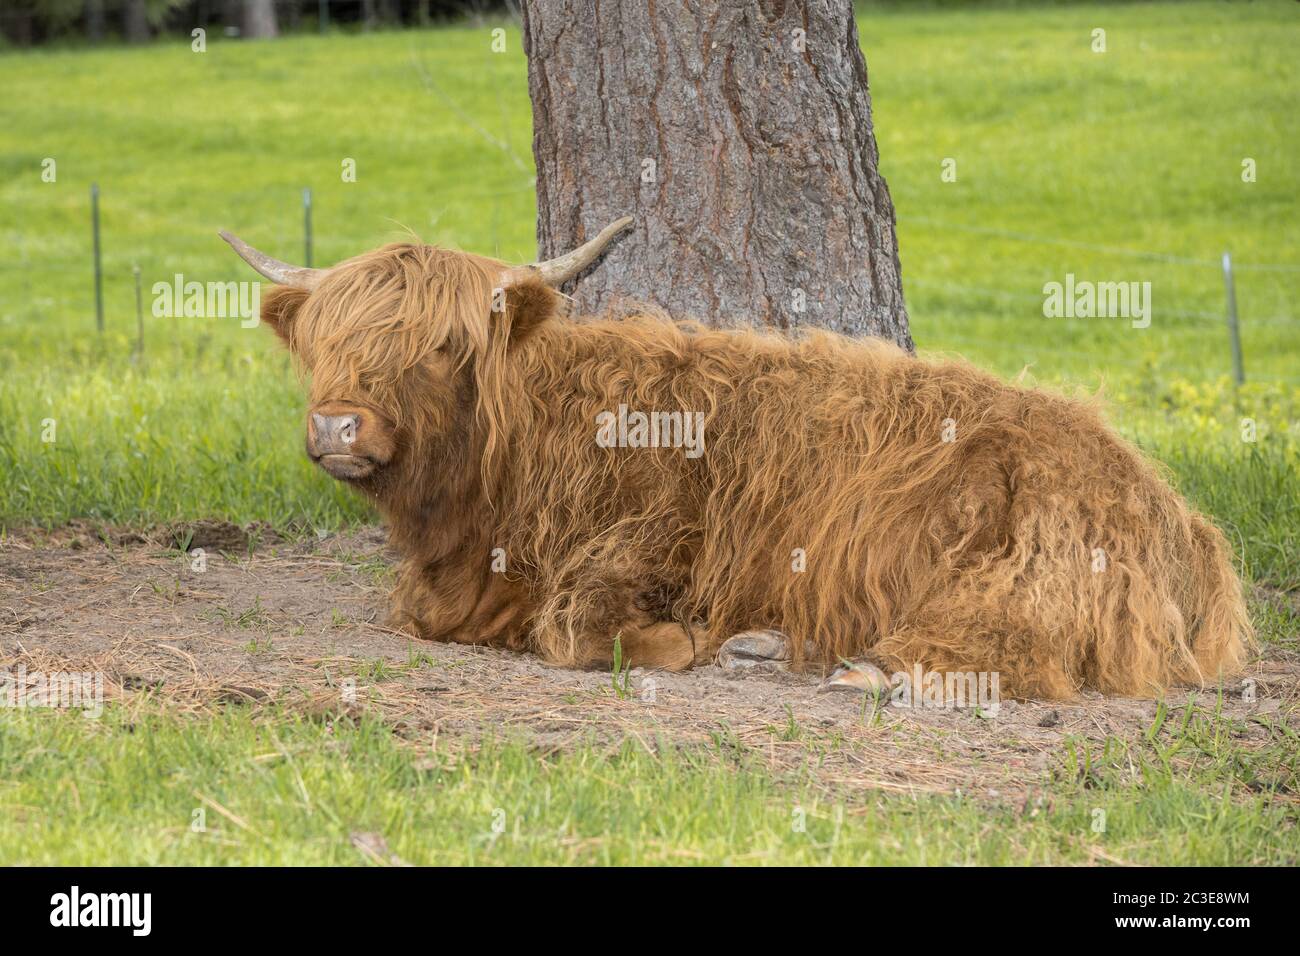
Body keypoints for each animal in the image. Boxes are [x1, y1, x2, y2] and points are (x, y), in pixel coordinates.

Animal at [220, 219, 1250, 699]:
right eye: (326, 341)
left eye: (441, 345)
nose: (337, 427)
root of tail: (1181, 518)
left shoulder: (652, 543)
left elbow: (580, 632)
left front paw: (695, 643)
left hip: (1014, 567)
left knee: (996, 651)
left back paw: (832, 662)